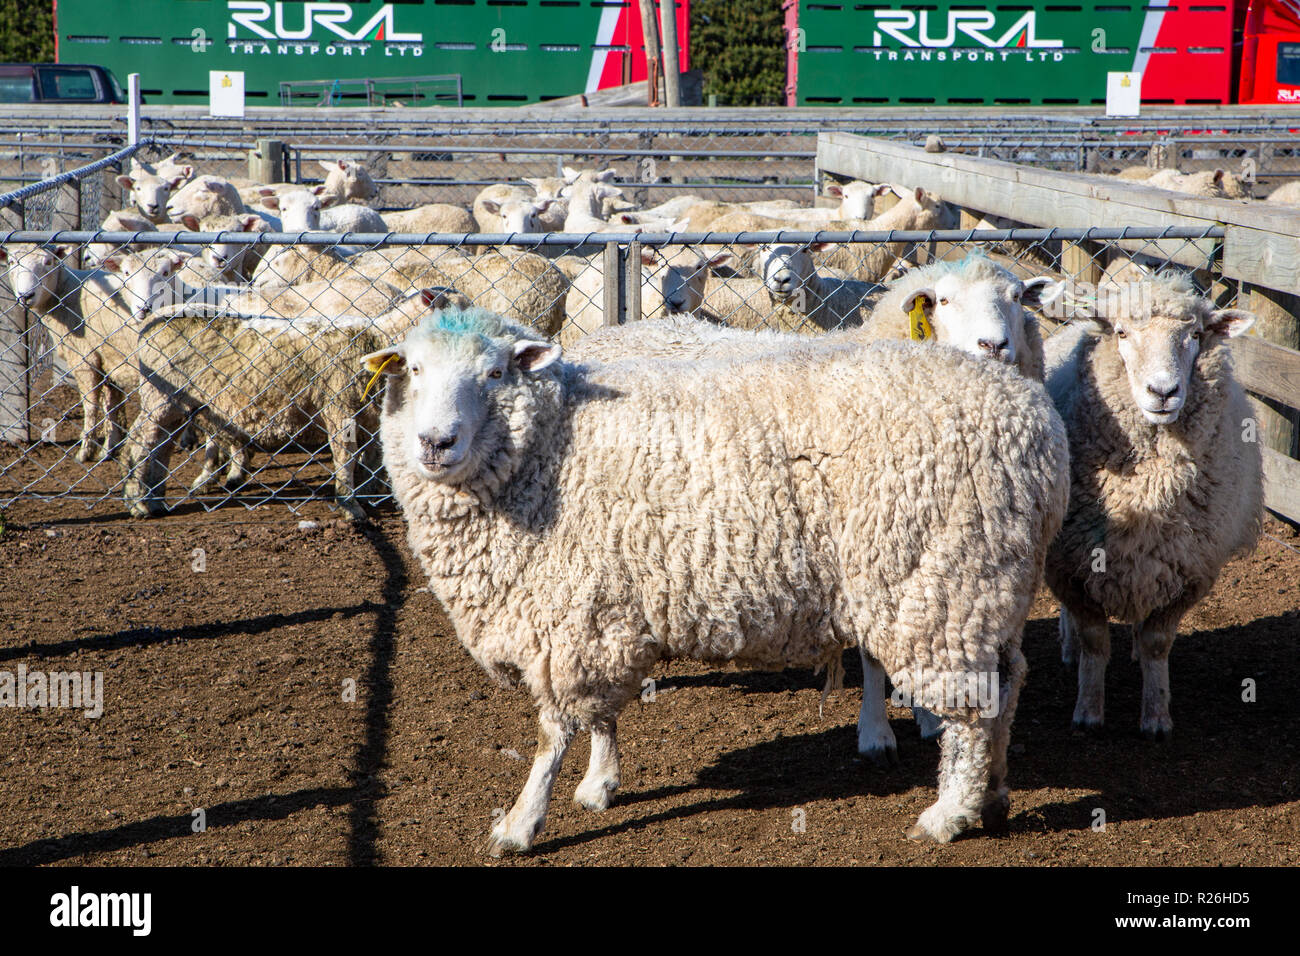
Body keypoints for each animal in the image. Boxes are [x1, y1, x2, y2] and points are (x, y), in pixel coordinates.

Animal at [364, 306, 1070, 852]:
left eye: (494, 372)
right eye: (414, 370)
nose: (435, 442)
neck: (549, 447)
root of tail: (1038, 427)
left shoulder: (567, 616)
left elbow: (551, 733)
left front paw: (520, 823)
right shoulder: (604, 608)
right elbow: (601, 716)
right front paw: (599, 783)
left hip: (941, 584)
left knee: (971, 711)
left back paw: (948, 815)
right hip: (990, 587)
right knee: (1006, 687)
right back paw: (995, 797)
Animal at [1042, 276, 1263, 739]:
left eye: (1194, 336)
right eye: (1122, 333)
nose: (1163, 392)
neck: (1150, 486)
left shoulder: (1190, 568)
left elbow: (1157, 643)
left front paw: (1157, 716)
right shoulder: (1069, 565)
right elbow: (1093, 638)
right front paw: (1089, 712)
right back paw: (1069, 648)